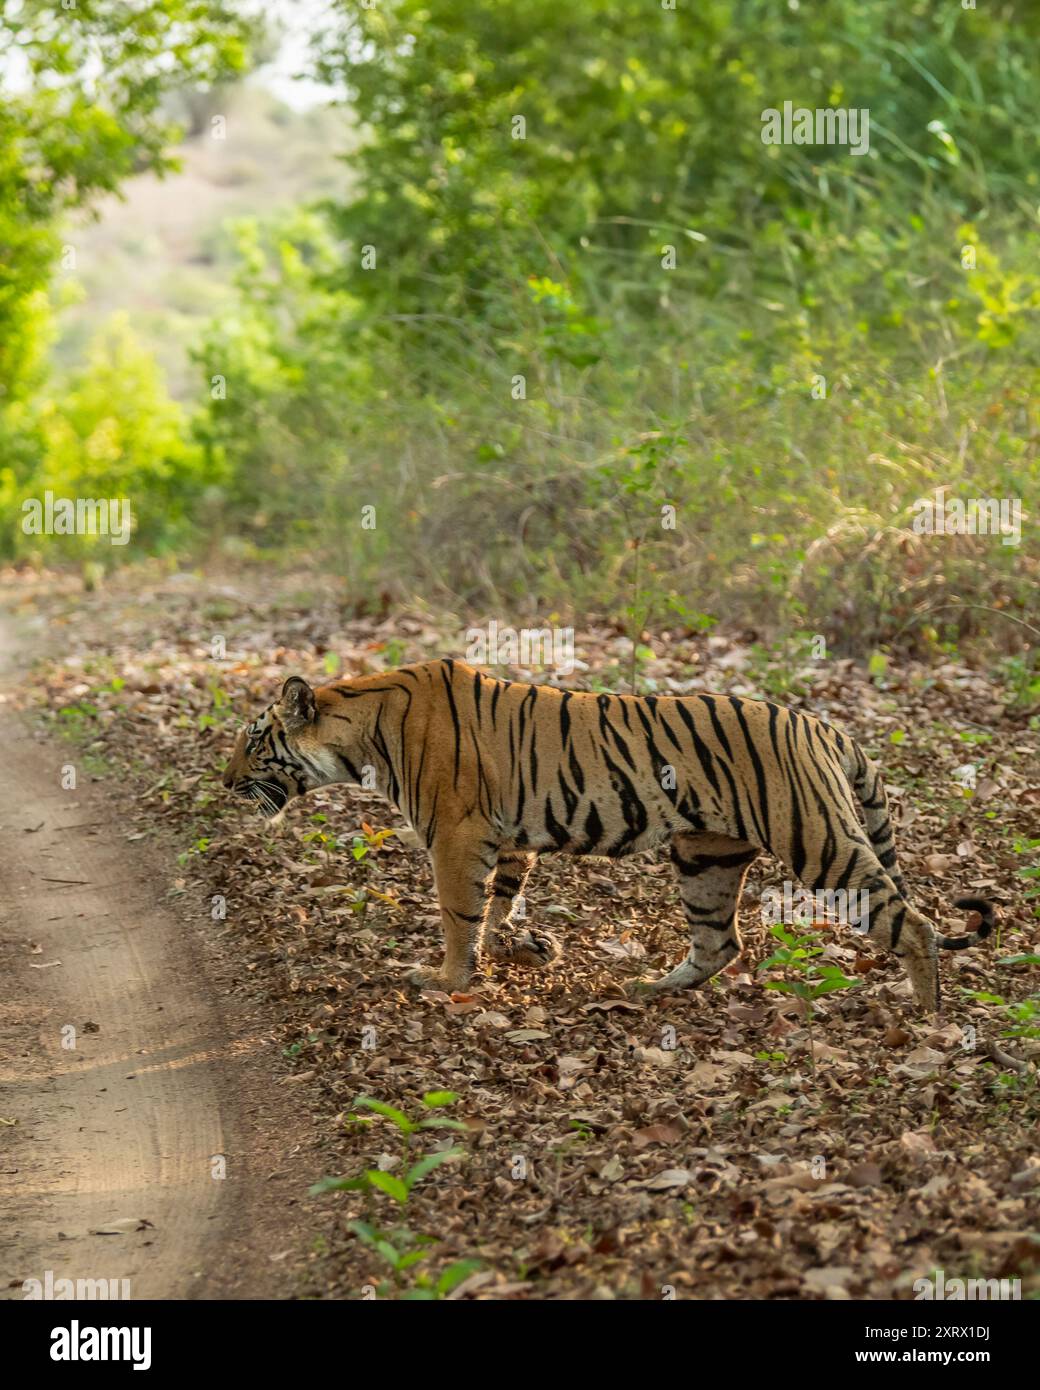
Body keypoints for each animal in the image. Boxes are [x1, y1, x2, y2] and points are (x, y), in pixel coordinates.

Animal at [221, 658, 994, 1013]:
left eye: (254, 742)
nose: (225, 782)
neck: (361, 732)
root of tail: (825, 725)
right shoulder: (507, 837)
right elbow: (500, 902)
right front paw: (524, 947)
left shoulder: (457, 835)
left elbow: (457, 912)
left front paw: (447, 979)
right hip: (705, 855)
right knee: (721, 943)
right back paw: (650, 987)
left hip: (818, 841)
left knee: (914, 923)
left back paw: (927, 1014)